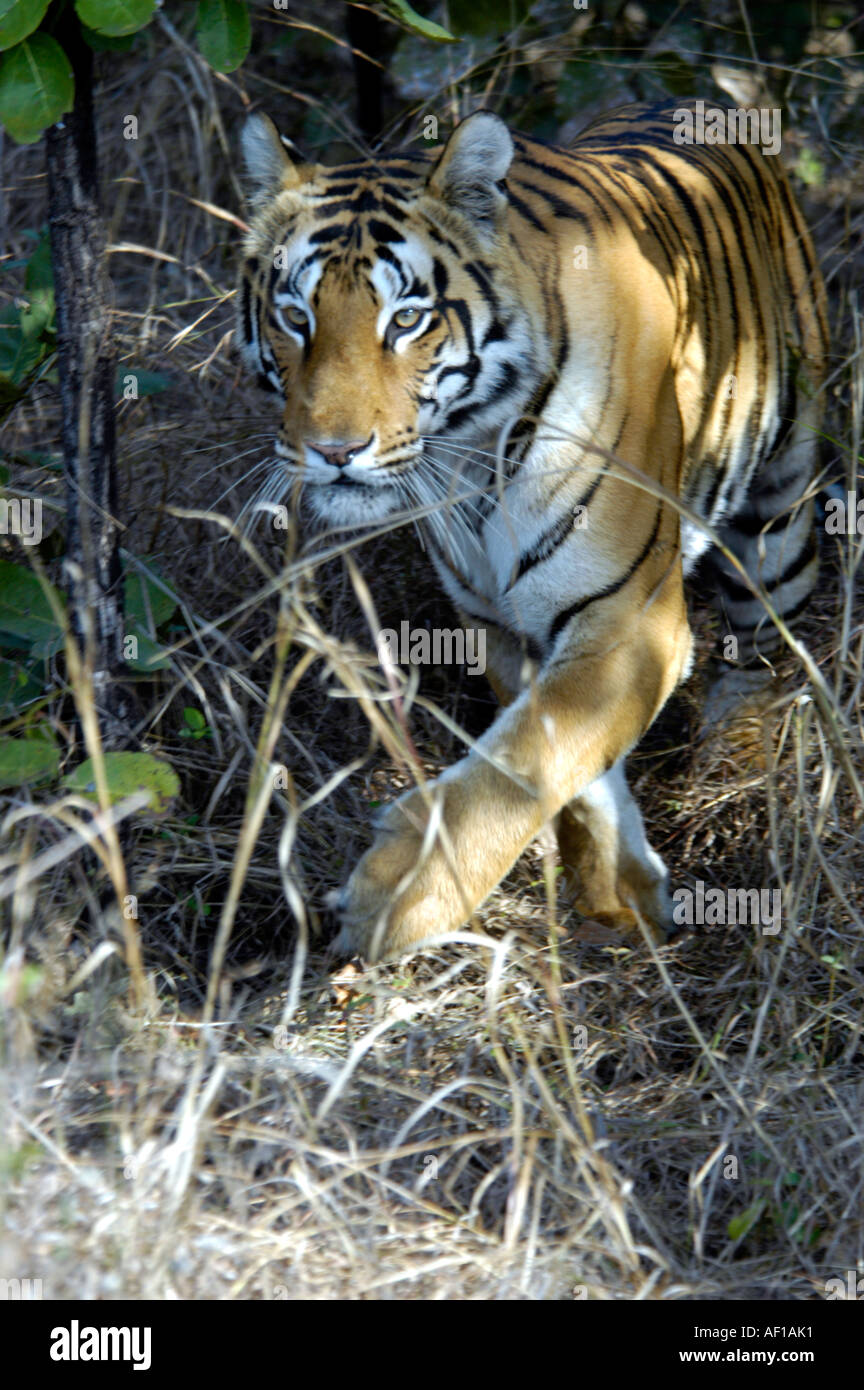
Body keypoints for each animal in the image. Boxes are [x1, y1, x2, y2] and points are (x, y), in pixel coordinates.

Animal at [236, 100, 828, 962]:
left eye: (406, 320)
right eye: (293, 316)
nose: (335, 451)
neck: (470, 457)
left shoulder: (631, 620)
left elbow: (526, 759)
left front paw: (400, 898)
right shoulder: (501, 627)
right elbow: (574, 773)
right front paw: (621, 900)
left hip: (780, 504)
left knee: (767, 647)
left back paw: (738, 758)